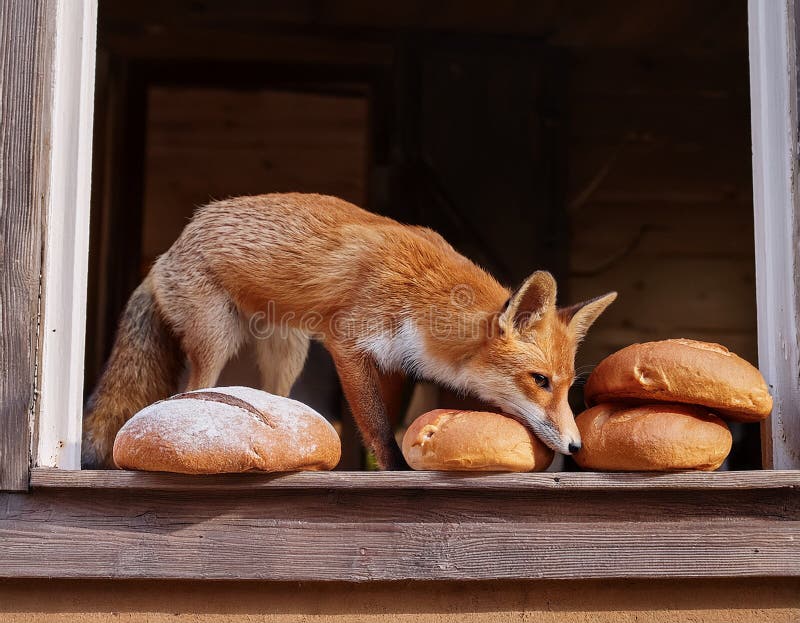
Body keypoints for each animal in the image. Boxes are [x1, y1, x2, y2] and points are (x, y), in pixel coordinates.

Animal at [82, 193, 616, 470]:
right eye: (540, 381)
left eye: (566, 387)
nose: (576, 447)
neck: (420, 293)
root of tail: (167, 252)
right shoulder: (349, 343)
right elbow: (377, 426)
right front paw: (396, 472)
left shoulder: (398, 362)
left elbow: (386, 423)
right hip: (216, 341)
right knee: (191, 388)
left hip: (286, 351)